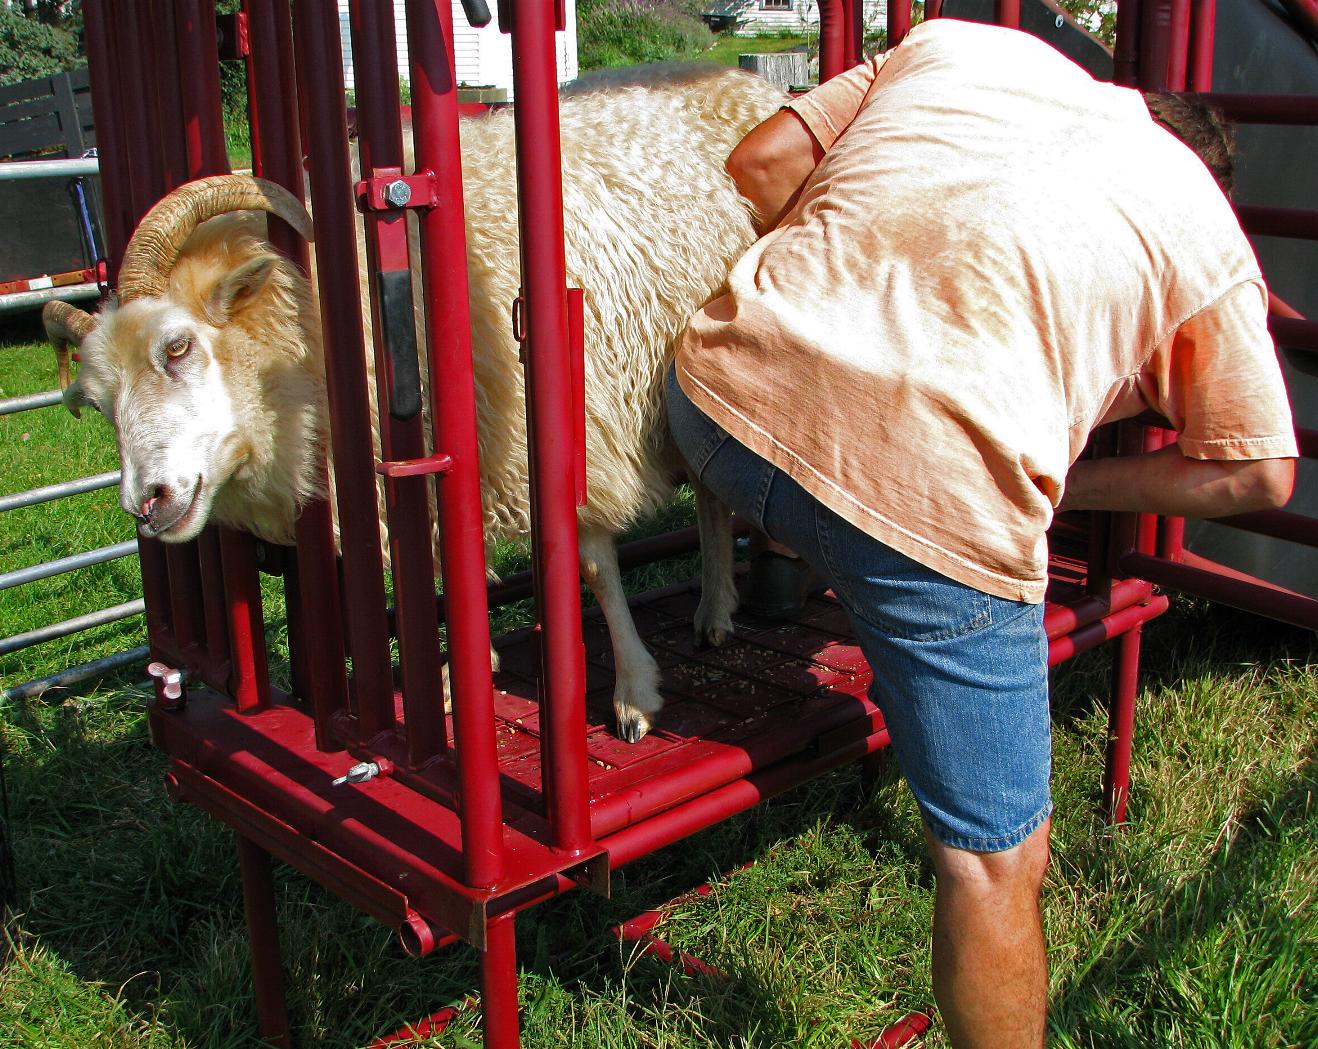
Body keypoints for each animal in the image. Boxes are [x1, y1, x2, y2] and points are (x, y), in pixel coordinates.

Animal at [43, 64, 789, 743]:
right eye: (96, 403)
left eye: (177, 348)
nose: (147, 504)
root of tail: (743, 77)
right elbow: (440, 573)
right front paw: (462, 681)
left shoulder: (563, 423)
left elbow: (592, 563)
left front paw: (633, 693)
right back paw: (715, 607)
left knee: (713, 491)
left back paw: (714, 609)